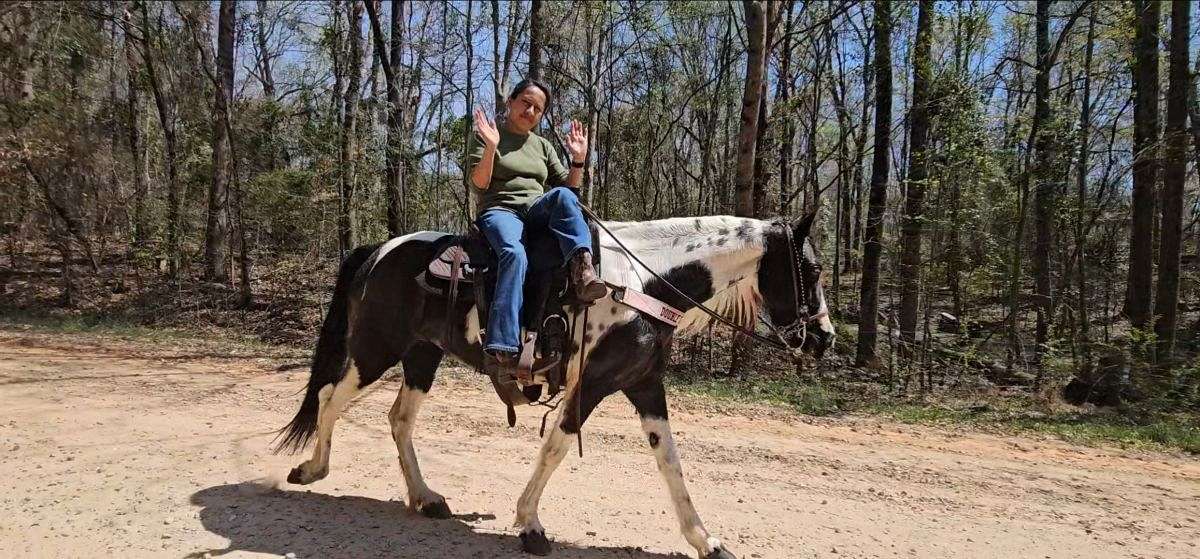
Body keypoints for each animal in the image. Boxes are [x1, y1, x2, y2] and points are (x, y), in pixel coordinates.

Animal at [274, 212, 835, 559]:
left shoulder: (644, 384)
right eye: (811, 269)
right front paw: (530, 523)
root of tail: (378, 249)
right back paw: (312, 469)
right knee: (329, 398)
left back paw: (426, 497)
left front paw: (707, 541)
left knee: (398, 419)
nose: (825, 338)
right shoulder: (593, 385)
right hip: (377, 350)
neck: (640, 285)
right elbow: (557, 447)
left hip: (421, 356)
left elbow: (671, 463)